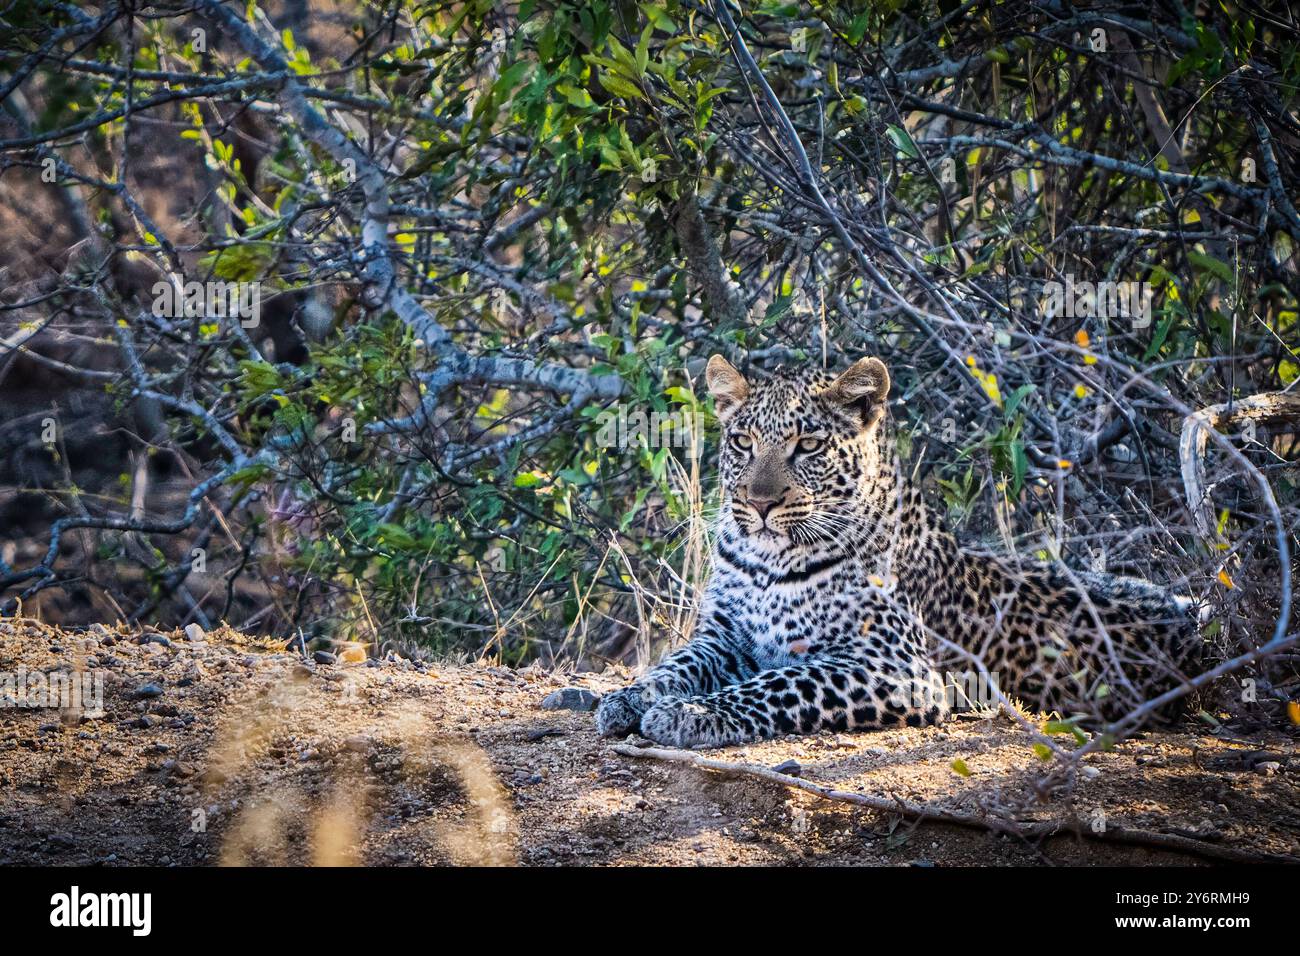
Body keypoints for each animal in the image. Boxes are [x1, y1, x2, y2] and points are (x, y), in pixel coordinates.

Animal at [596, 354, 1202, 749]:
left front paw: (688, 712)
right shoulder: (725, 637)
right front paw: (631, 698)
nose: (759, 504)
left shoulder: (896, 665)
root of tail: (1192, 617)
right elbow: (677, 663)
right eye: (743, 443)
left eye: (808, 446)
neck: (768, 562)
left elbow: (776, 684)